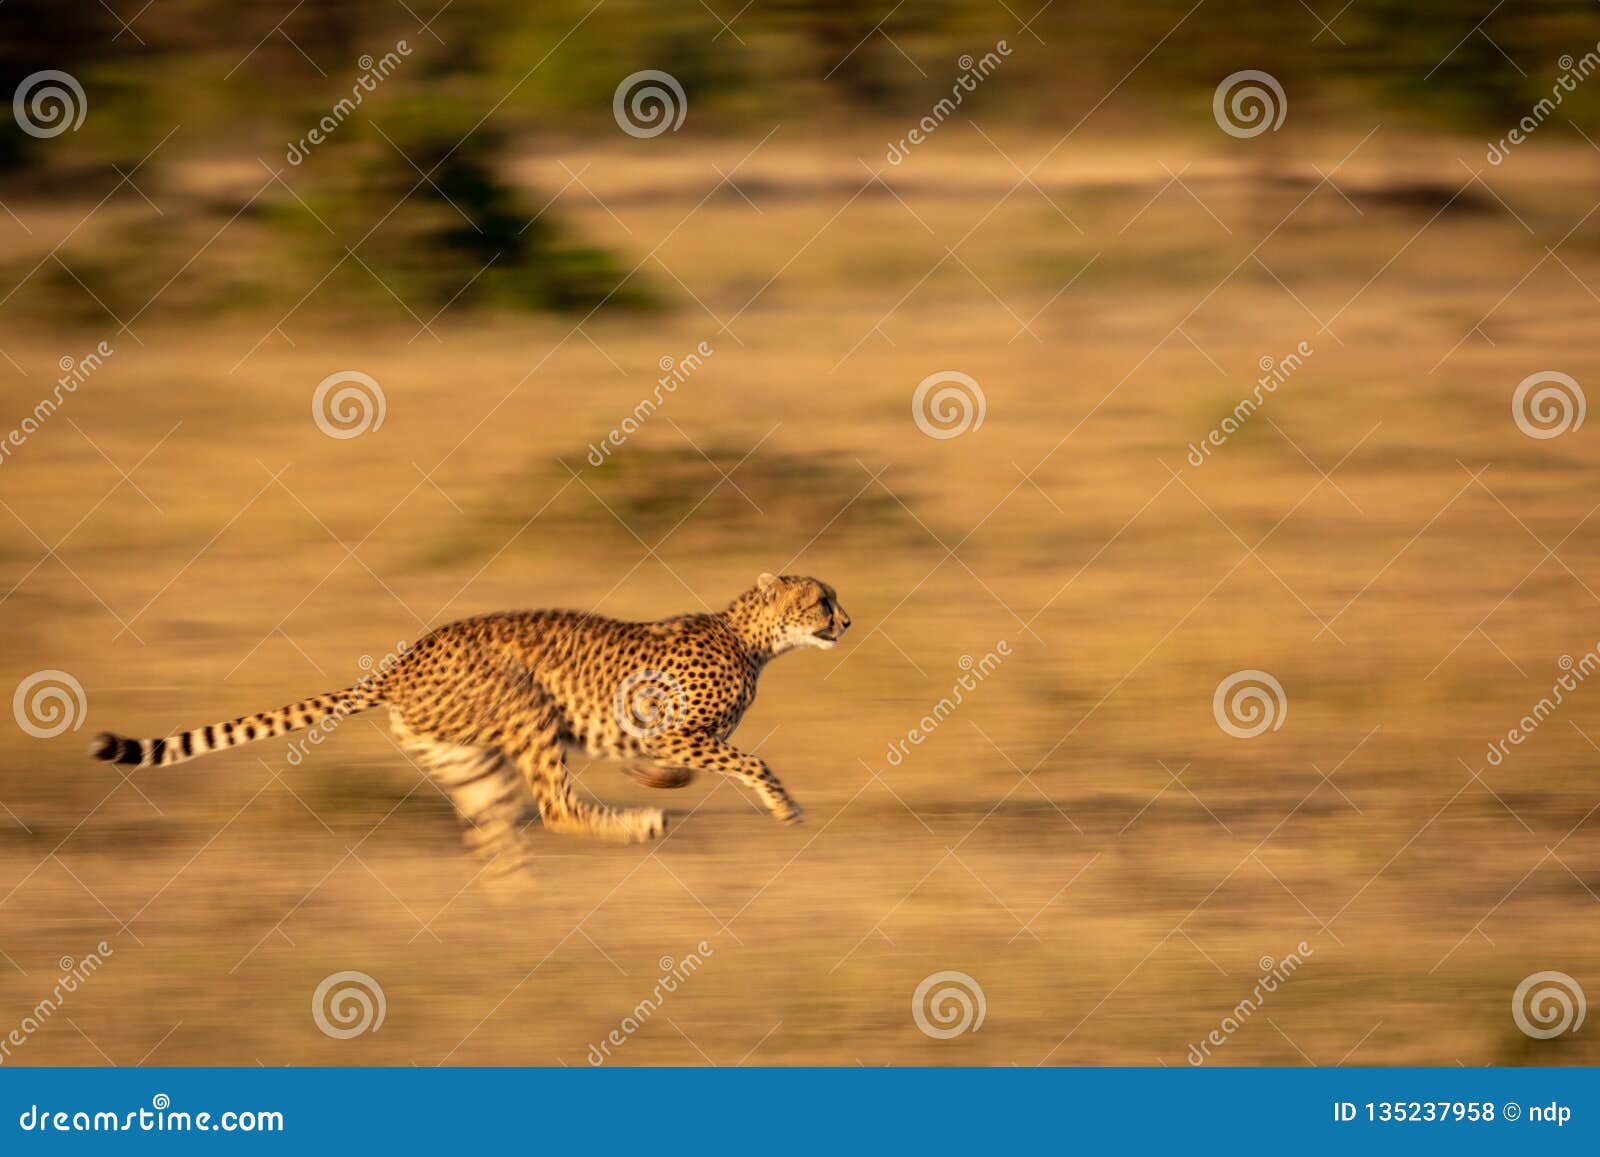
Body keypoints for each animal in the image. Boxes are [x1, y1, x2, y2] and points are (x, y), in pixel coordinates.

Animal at [89, 573, 850, 878]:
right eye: (822, 599)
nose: (847, 620)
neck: (751, 636)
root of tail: (400, 663)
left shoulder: (670, 735)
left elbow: (683, 763)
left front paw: (657, 780)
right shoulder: (678, 728)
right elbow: (748, 759)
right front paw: (784, 807)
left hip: (468, 757)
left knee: (494, 830)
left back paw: (512, 910)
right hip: (525, 704)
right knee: (555, 807)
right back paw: (638, 828)